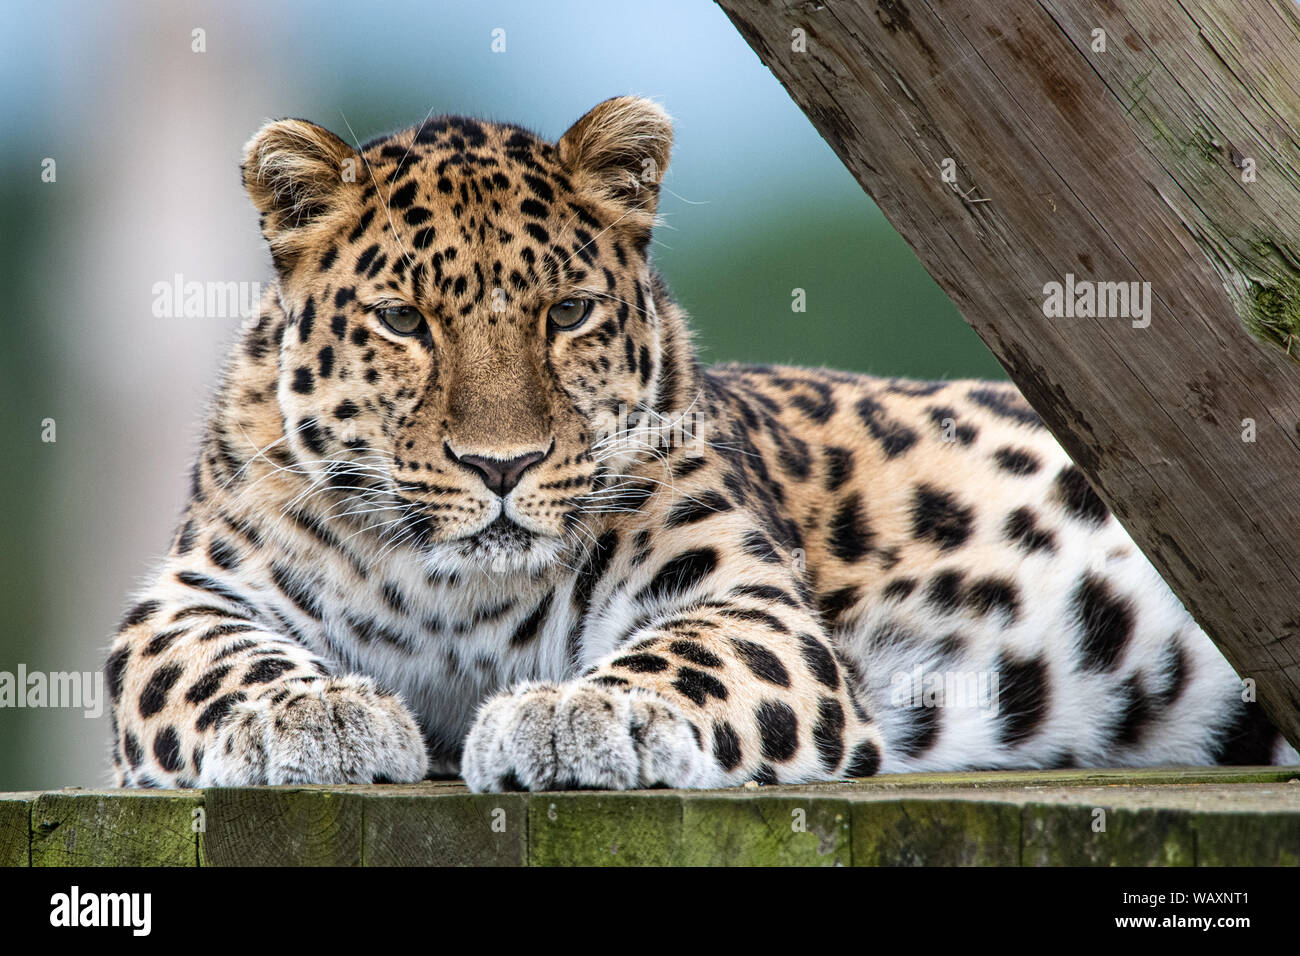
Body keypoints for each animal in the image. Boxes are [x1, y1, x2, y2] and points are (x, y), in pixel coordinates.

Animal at [105, 96, 1296, 792]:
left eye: (569, 312)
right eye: (403, 321)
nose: (501, 466)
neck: (462, 598)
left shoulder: (745, 596)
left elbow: (679, 657)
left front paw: (578, 712)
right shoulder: (188, 596)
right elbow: (215, 662)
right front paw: (312, 715)